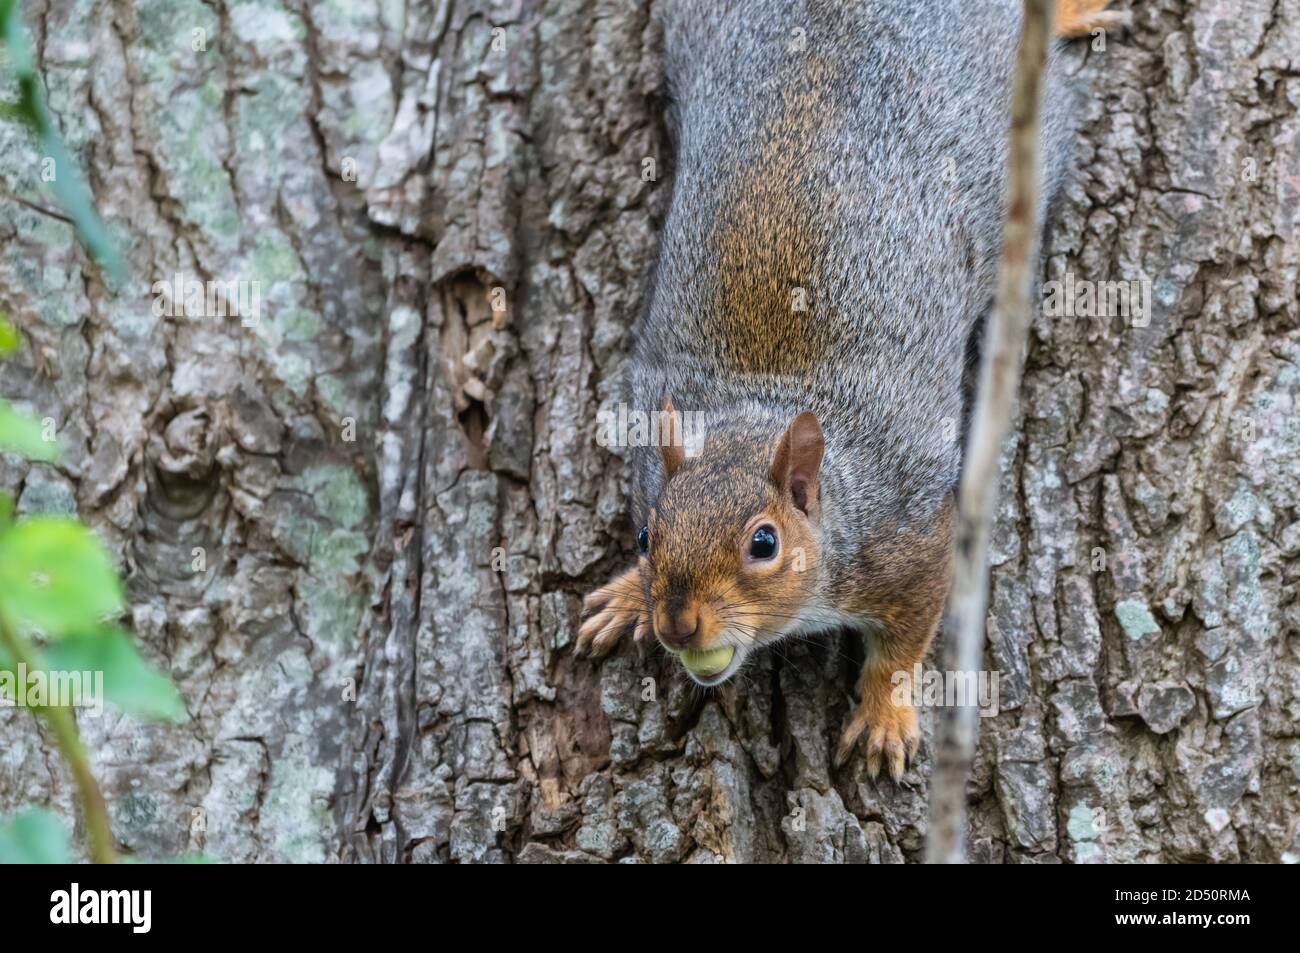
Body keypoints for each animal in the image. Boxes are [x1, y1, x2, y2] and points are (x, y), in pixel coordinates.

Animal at [575, 0, 1124, 780]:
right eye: (647, 535)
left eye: (764, 542)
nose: (677, 623)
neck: (758, 409)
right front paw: (625, 595)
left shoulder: (911, 540)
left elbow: (909, 636)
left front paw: (885, 715)